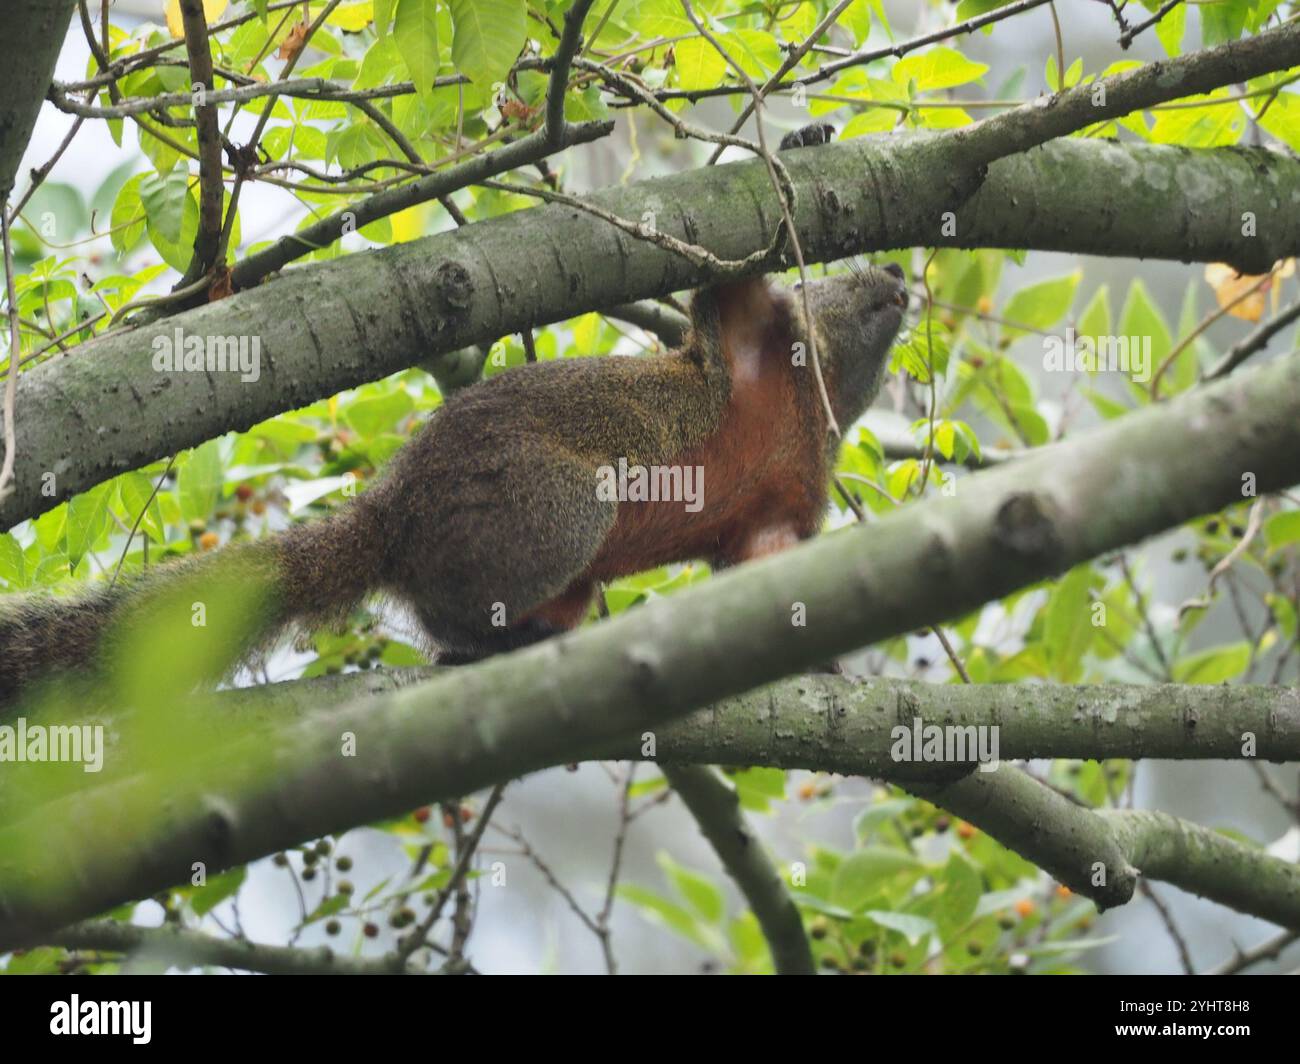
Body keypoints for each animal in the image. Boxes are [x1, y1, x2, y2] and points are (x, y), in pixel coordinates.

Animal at [0, 263, 907, 707]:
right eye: (840, 277)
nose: (901, 277)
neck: (809, 406)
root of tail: (393, 512)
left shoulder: (780, 514)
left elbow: (768, 567)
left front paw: (827, 659)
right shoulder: (742, 348)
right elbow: (727, 291)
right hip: (554, 506)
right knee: (451, 608)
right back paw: (489, 641)